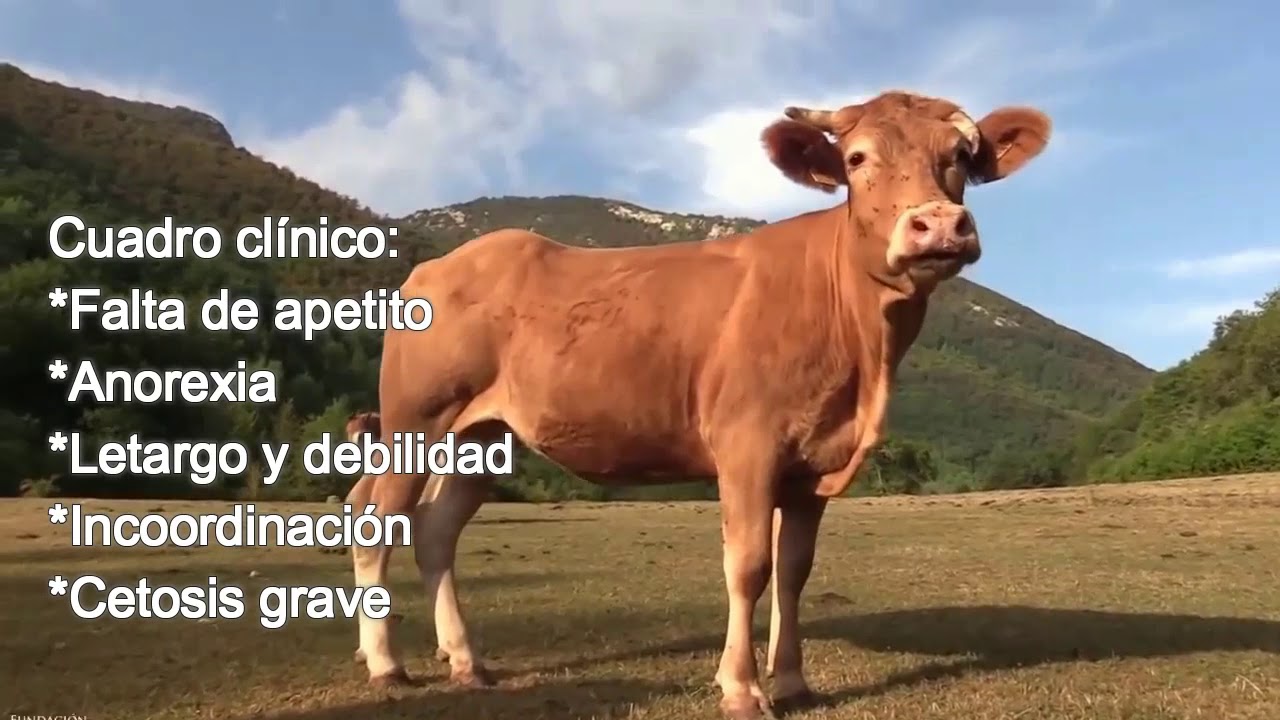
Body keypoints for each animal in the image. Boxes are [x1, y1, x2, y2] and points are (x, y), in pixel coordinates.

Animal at [345, 89, 1052, 719]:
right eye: (856, 158)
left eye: (959, 156)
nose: (939, 225)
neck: (863, 352)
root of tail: (441, 264)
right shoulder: (746, 445)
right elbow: (748, 565)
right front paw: (741, 690)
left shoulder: (811, 464)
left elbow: (793, 570)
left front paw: (793, 682)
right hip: (414, 422)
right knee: (377, 520)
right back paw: (386, 665)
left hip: (482, 436)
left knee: (436, 532)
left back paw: (467, 662)